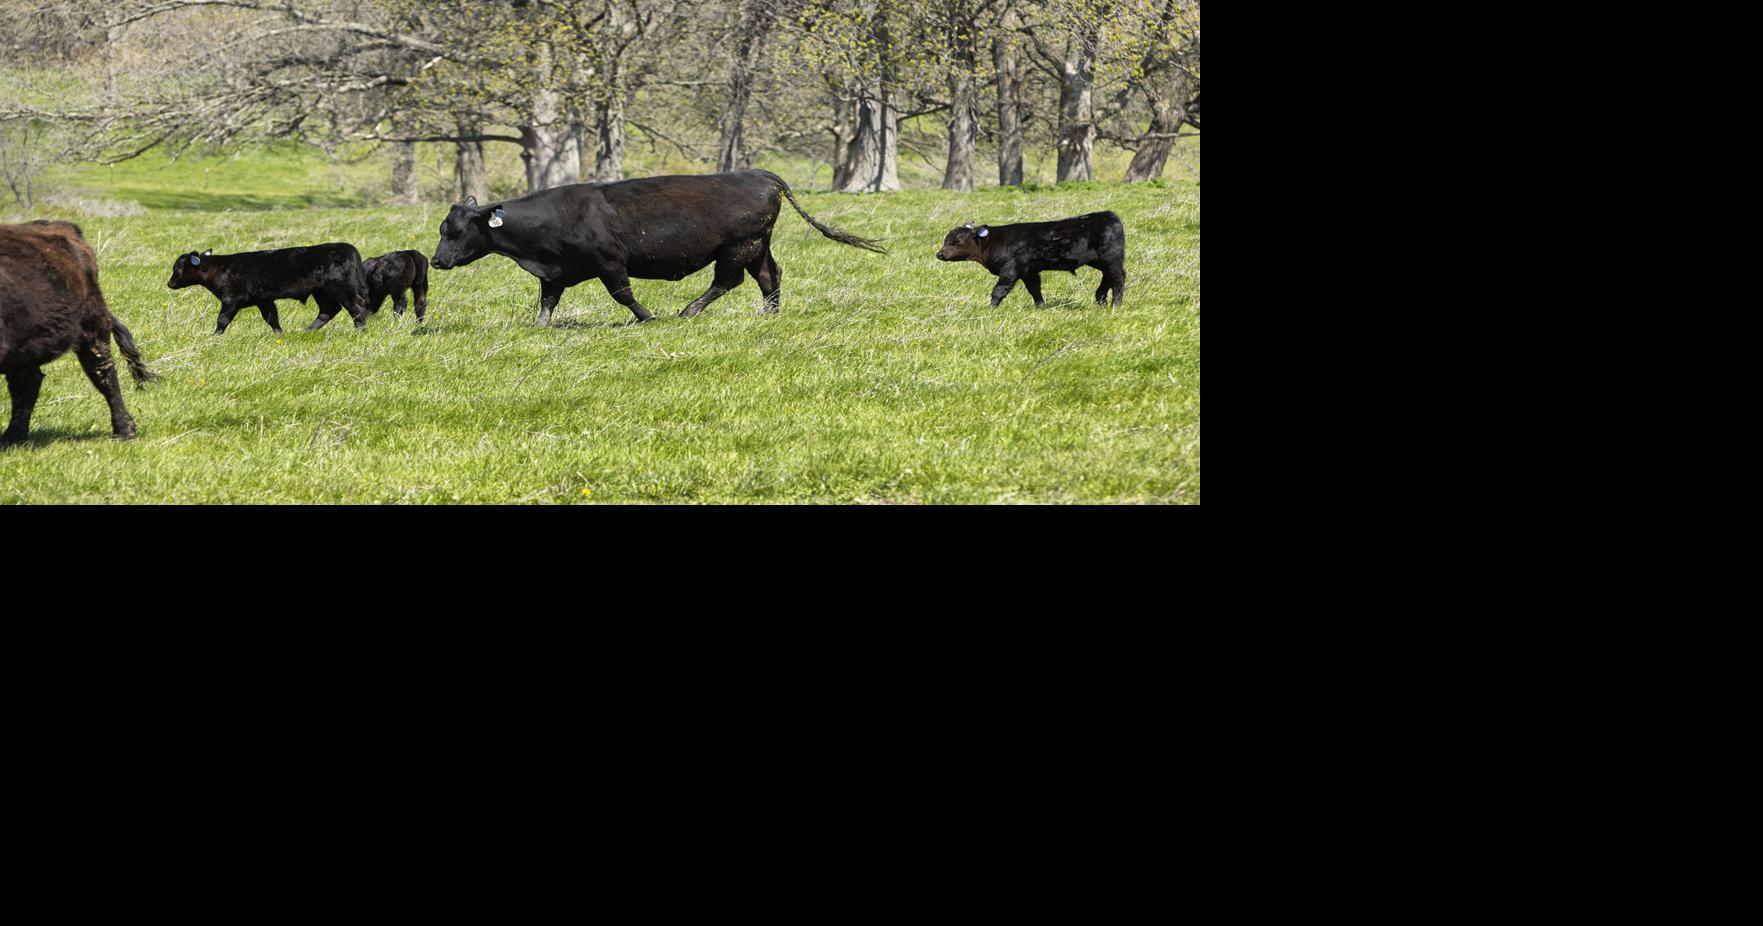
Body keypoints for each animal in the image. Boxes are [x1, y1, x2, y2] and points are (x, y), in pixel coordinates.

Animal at [167, 243, 374, 335]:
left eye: (176, 268)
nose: (169, 283)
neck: (220, 268)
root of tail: (346, 247)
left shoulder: (231, 299)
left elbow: (222, 319)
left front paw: (215, 336)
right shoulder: (263, 300)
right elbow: (271, 318)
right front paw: (279, 334)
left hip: (341, 288)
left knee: (356, 307)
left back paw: (360, 331)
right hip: (321, 292)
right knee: (329, 311)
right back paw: (307, 330)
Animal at [430, 169, 887, 325]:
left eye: (455, 231)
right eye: (443, 227)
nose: (435, 261)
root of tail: (758, 174)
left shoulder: (609, 261)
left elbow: (623, 294)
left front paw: (648, 317)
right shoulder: (556, 271)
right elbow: (548, 301)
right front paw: (539, 326)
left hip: (737, 246)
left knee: (729, 281)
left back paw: (688, 311)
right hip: (757, 245)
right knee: (768, 276)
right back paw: (769, 314)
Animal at [936, 212, 1127, 309]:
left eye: (957, 242)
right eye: (945, 239)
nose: (939, 254)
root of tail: (1109, 215)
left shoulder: (1011, 269)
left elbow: (998, 290)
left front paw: (990, 309)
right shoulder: (1029, 272)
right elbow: (1035, 290)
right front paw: (1040, 307)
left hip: (1111, 258)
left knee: (1118, 278)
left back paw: (1114, 306)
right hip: (1101, 260)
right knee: (1108, 277)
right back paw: (1101, 300)